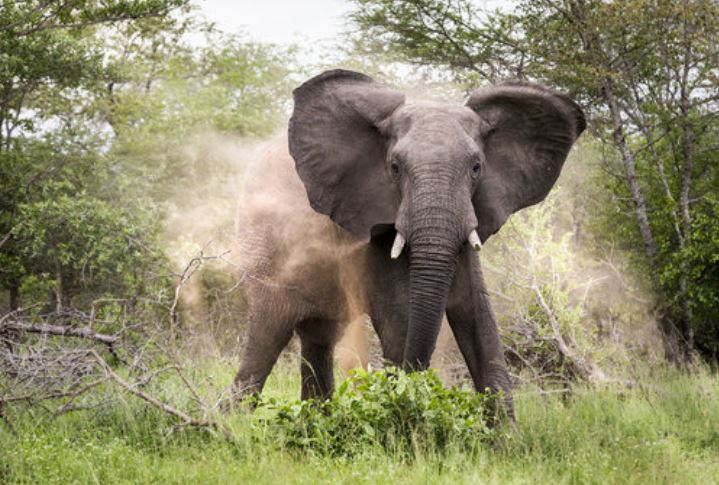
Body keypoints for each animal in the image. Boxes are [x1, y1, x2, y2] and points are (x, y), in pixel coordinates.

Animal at [231, 69, 585, 414]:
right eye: (395, 168)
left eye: (476, 168)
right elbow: (400, 320)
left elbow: (479, 316)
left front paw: (505, 433)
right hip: (265, 248)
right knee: (268, 334)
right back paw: (233, 420)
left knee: (318, 335)